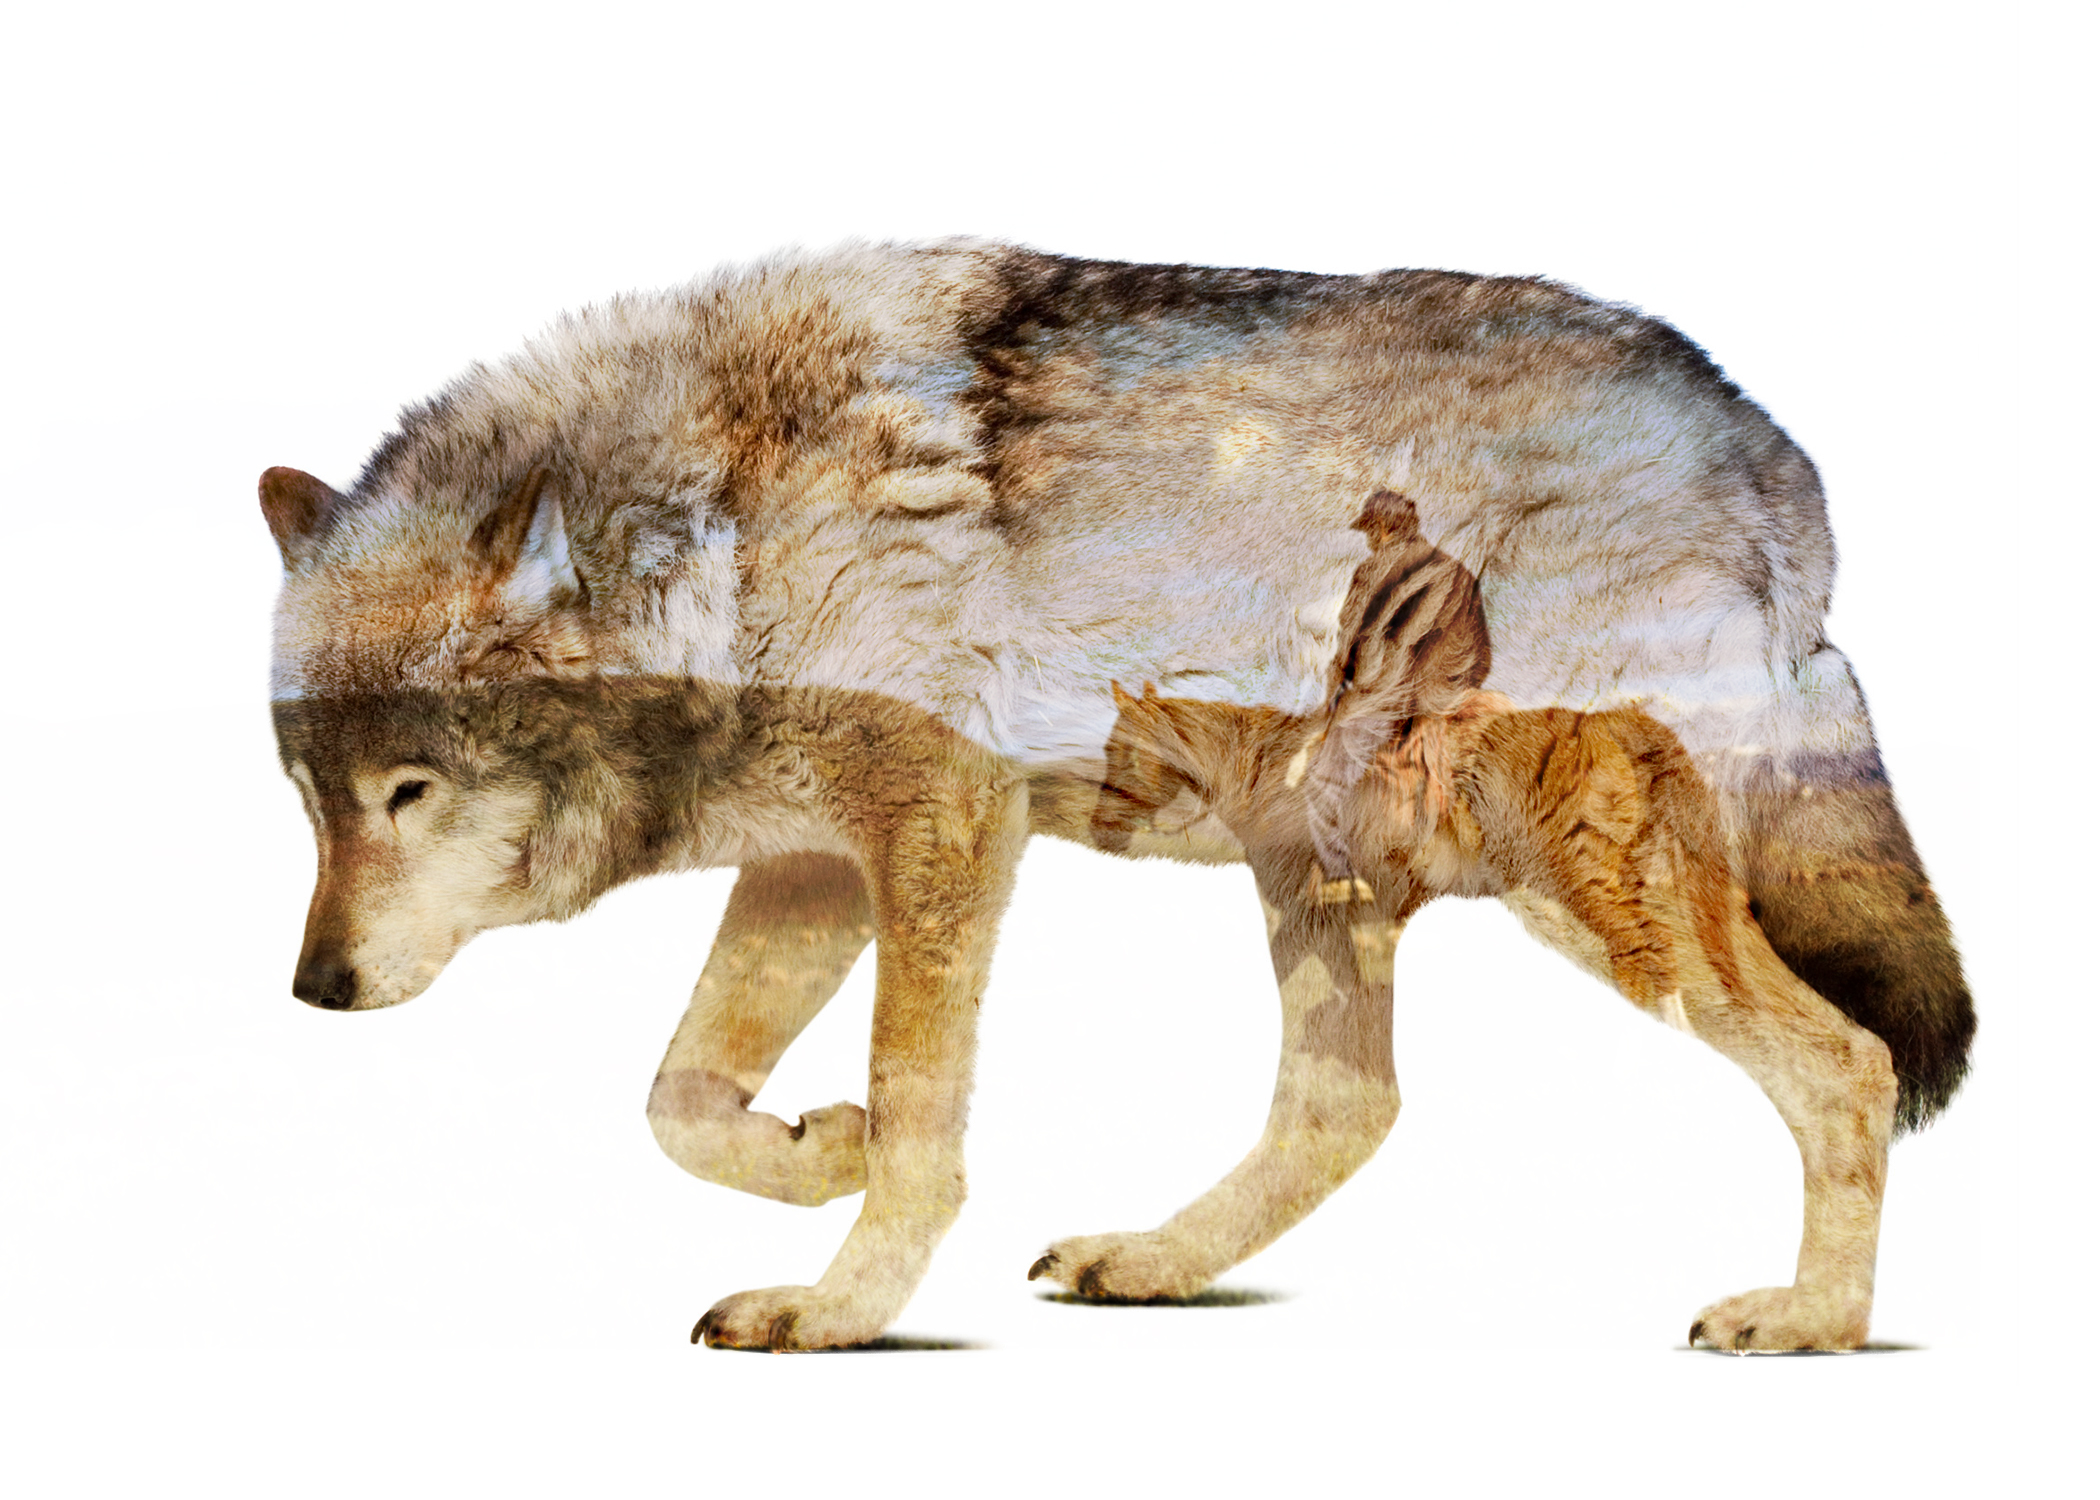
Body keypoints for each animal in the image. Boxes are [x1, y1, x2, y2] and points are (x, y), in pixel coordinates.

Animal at [261, 240, 1970, 1351]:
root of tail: (1770, 448)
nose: (314, 991)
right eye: (311, 801)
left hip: (1578, 880)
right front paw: (814, 1151)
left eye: (410, 790)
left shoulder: (943, 822)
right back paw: (1155, 1263)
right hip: (1328, 872)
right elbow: (681, 1099)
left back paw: (1814, 1323)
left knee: (1852, 1063)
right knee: (1352, 1106)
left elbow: (917, 1112)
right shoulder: (816, 860)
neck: (719, 525)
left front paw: (840, 1303)